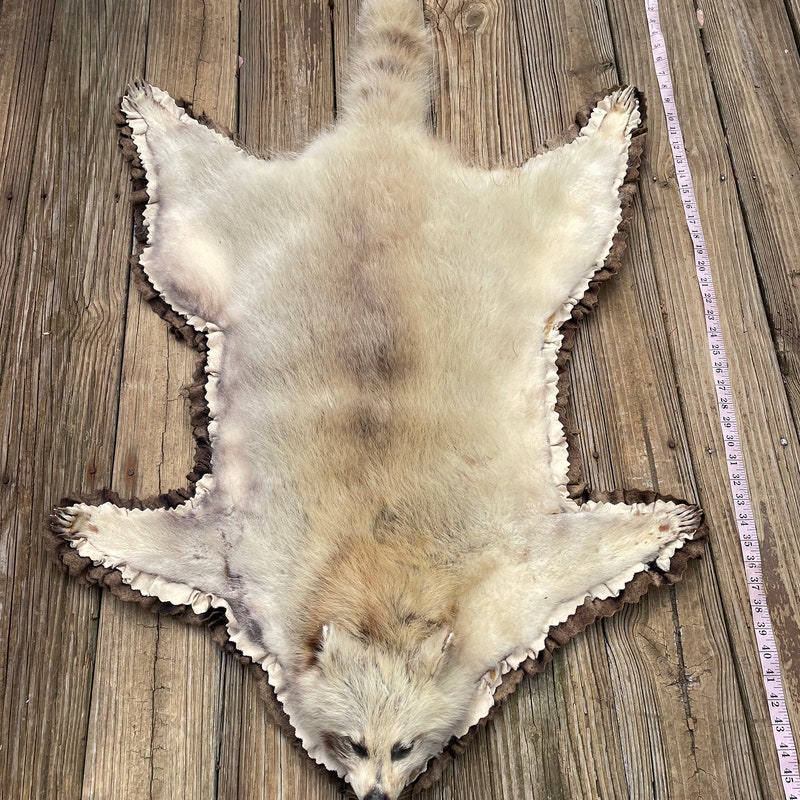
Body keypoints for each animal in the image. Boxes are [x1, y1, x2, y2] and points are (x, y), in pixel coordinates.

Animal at [52, 0, 703, 797]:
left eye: (408, 747)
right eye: (352, 743)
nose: (376, 796)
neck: (381, 595)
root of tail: (380, 140)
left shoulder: (512, 584)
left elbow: (584, 550)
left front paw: (660, 525)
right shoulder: (256, 560)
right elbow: (186, 545)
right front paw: (98, 528)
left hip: (530, 246)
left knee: (579, 195)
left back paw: (611, 125)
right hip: (215, 241)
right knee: (194, 175)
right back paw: (157, 115)